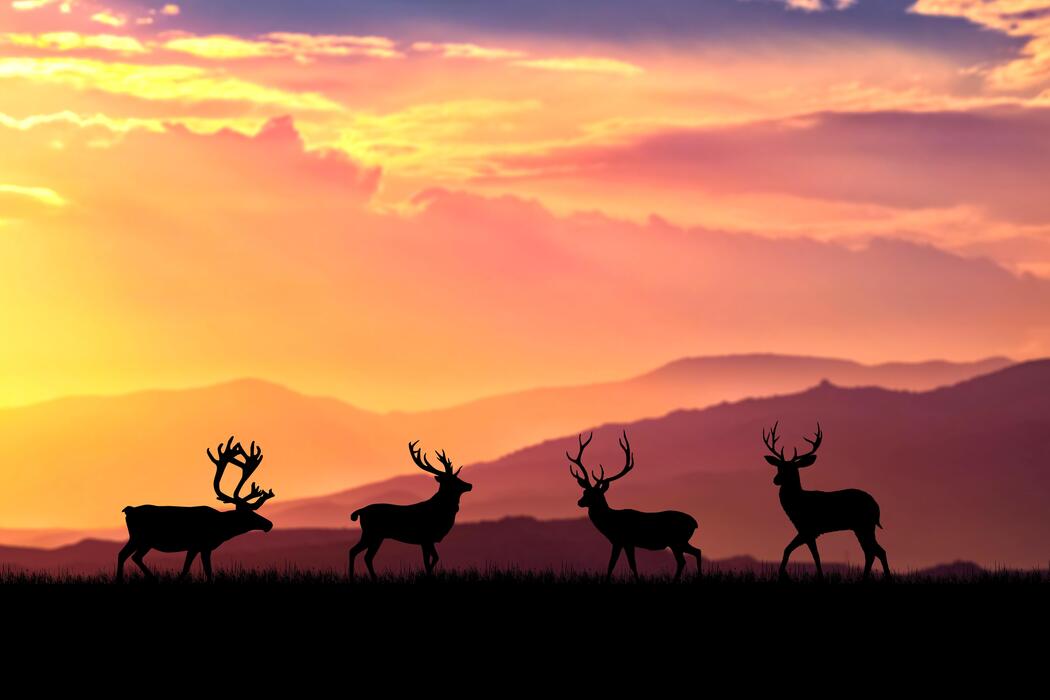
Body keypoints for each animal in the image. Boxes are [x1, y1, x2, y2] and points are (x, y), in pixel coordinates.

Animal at [116, 436, 276, 582]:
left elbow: (191, 569)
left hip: (139, 539)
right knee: (133, 556)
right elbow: (202, 571)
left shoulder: (198, 547)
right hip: (142, 538)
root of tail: (128, 510)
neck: (222, 528)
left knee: (124, 555)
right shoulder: (199, 545)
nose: (269, 524)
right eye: (249, 513)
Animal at [348, 441, 472, 581]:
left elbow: (432, 559)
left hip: (375, 536)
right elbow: (430, 560)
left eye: (457, 477)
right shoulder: (425, 537)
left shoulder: (427, 540)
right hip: (372, 533)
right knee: (361, 554)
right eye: (453, 480)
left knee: (360, 553)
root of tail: (360, 511)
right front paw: (428, 576)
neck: (441, 513)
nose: (469, 485)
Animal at [567, 431, 701, 581]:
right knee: (696, 552)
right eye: (585, 491)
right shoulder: (625, 542)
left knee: (684, 559)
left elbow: (616, 564)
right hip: (680, 541)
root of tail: (694, 523)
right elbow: (627, 565)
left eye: (595, 494)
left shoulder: (622, 540)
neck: (611, 522)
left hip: (677, 540)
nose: (579, 502)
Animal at [762, 422, 890, 581]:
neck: (798, 502)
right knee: (872, 552)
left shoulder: (808, 529)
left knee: (876, 551)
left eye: (792, 468)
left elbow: (811, 555)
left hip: (865, 525)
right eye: (778, 467)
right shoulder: (806, 531)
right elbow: (792, 551)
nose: (776, 480)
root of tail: (876, 506)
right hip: (861, 527)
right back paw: (867, 578)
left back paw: (885, 578)